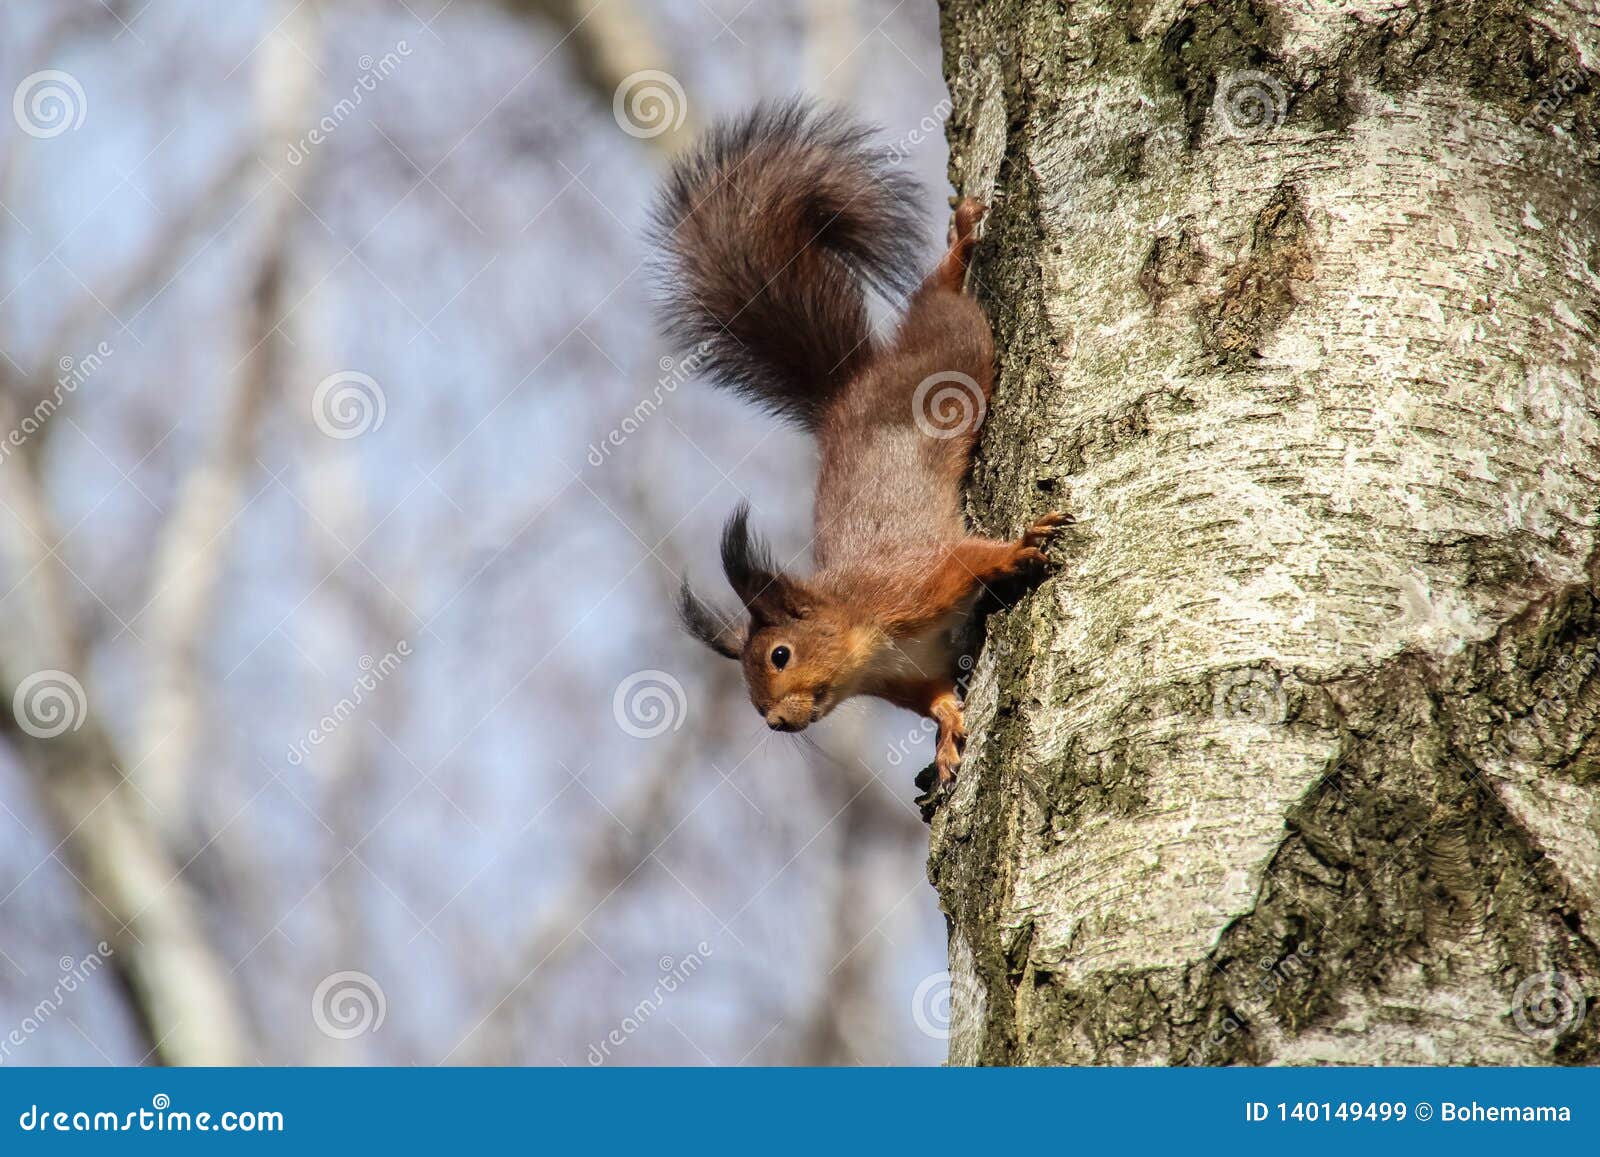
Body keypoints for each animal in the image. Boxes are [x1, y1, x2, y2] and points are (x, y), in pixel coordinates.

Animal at [653, 100, 1069, 800]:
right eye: (747, 681)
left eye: (780, 655)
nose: (774, 722)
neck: (860, 634)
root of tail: (855, 385)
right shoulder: (908, 674)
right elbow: (936, 698)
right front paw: (947, 736)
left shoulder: (915, 581)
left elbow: (970, 557)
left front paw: (1019, 546)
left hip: (953, 355)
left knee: (940, 303)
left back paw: (958, 248)